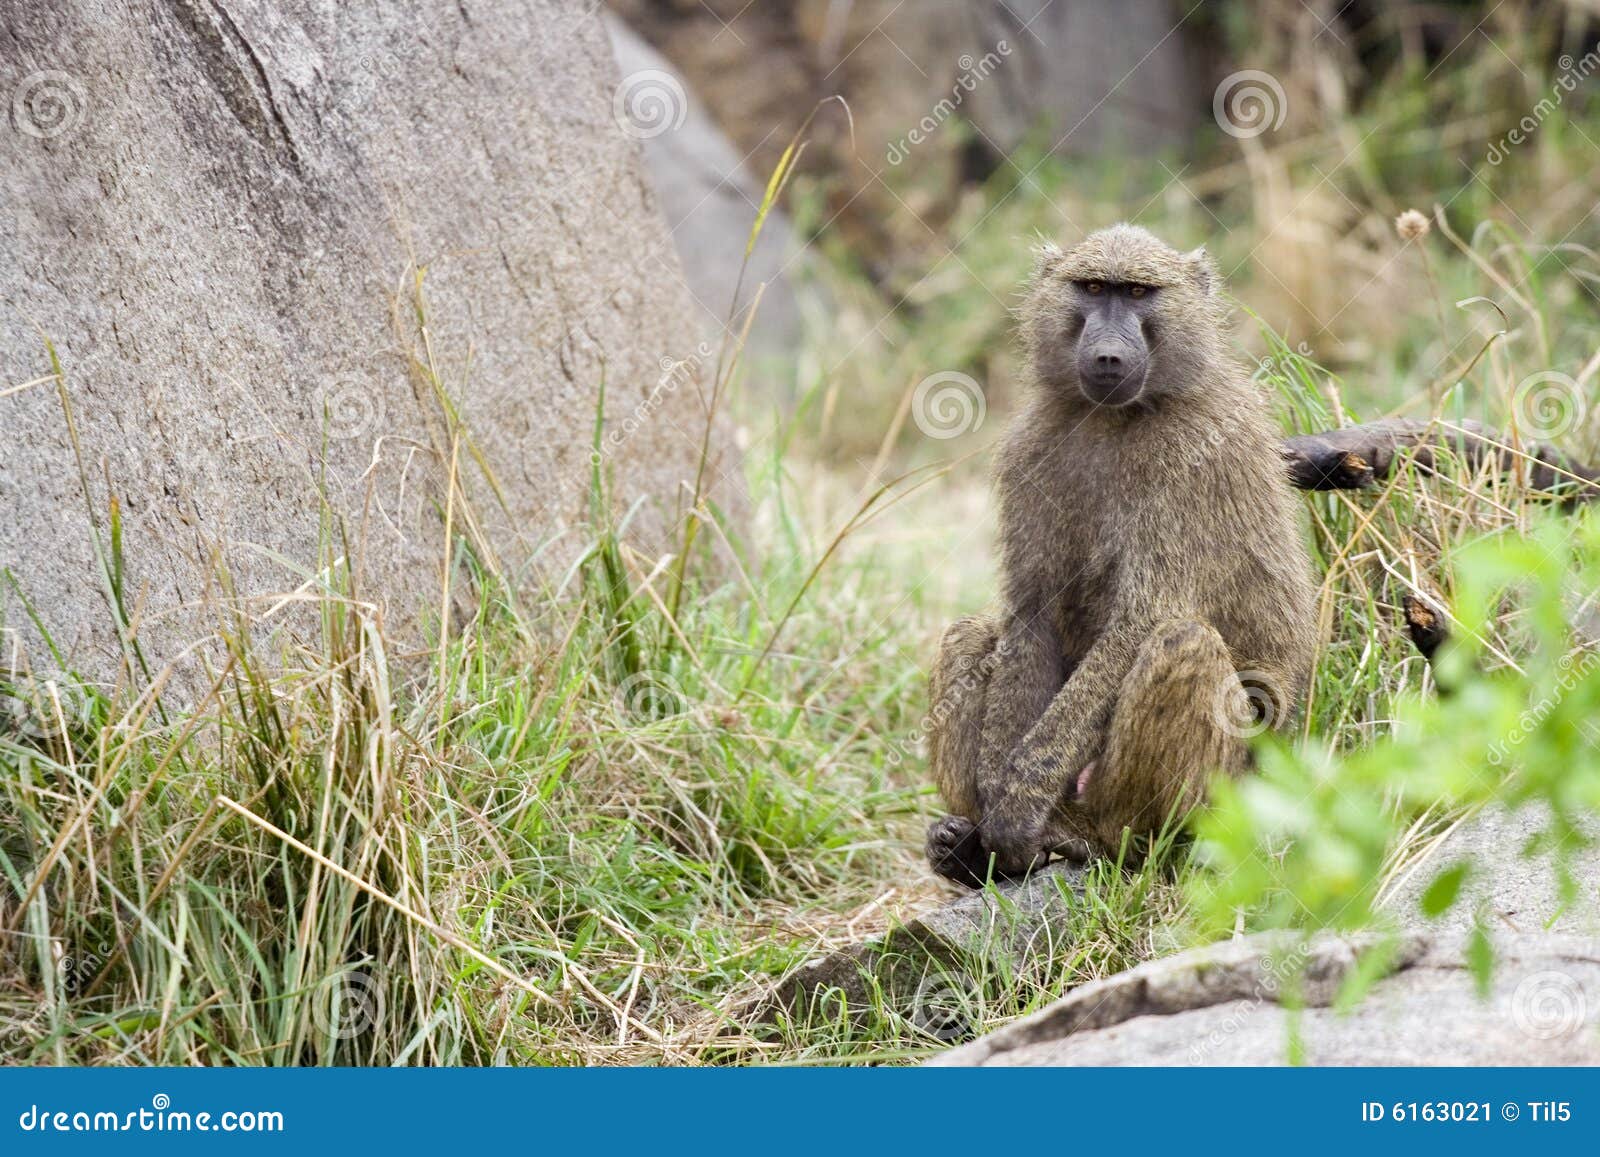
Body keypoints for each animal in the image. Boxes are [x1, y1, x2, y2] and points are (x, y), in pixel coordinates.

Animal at [924, 224, 1319, 885]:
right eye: (1091, 289)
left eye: (1137, 292)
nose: (1108, 355)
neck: (1114, 416)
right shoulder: (1030, 450)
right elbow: (1029, 616)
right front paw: (997, 809)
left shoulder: (1193, 458)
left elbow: (1143, 619)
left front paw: (1019, 803)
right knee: (971, 634)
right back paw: (967, 849)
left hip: (1224, 796)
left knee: (1180, 641)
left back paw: (1099, 838)